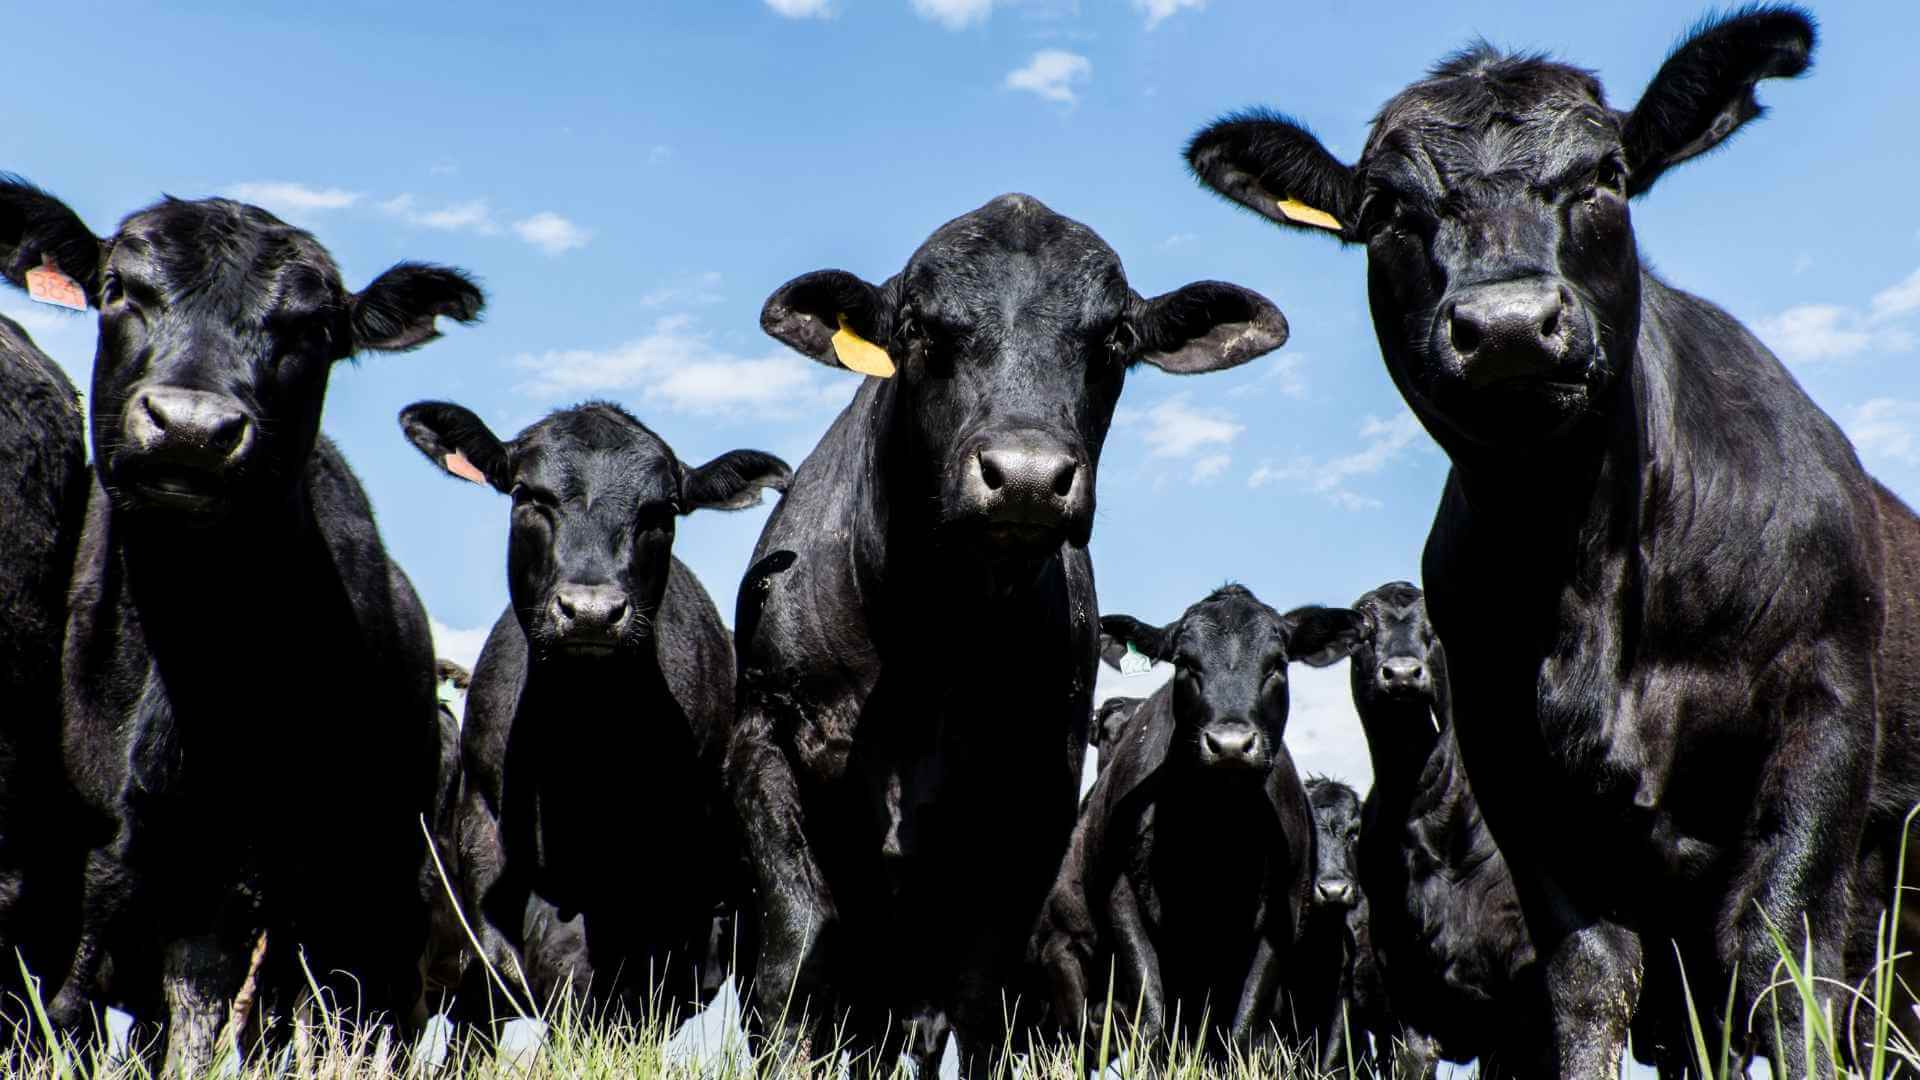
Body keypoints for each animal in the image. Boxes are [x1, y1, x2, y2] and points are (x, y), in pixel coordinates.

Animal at [0, 179, 484, 1073]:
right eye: (118, 288)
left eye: (313, 329)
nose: (191, 426)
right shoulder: (87, 858)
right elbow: (73, 1009)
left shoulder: (237, 875)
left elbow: (201, 1021)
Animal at [732, 193, 1291, 1073]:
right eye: (919, 329)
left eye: (1115, 338)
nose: (1027, 476)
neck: (932, 638)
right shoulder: (765, 741)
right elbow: (796, 953)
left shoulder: (1033, 802)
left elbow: (974, 994)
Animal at [1033, 586, 1365, 1057]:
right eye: (1185, 663)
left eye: (1277, 664)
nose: (1230, 744)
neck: (1213, 834)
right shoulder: (1123, 902)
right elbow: (1152, 1016)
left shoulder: (1281, 919)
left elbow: (1243, 1029)